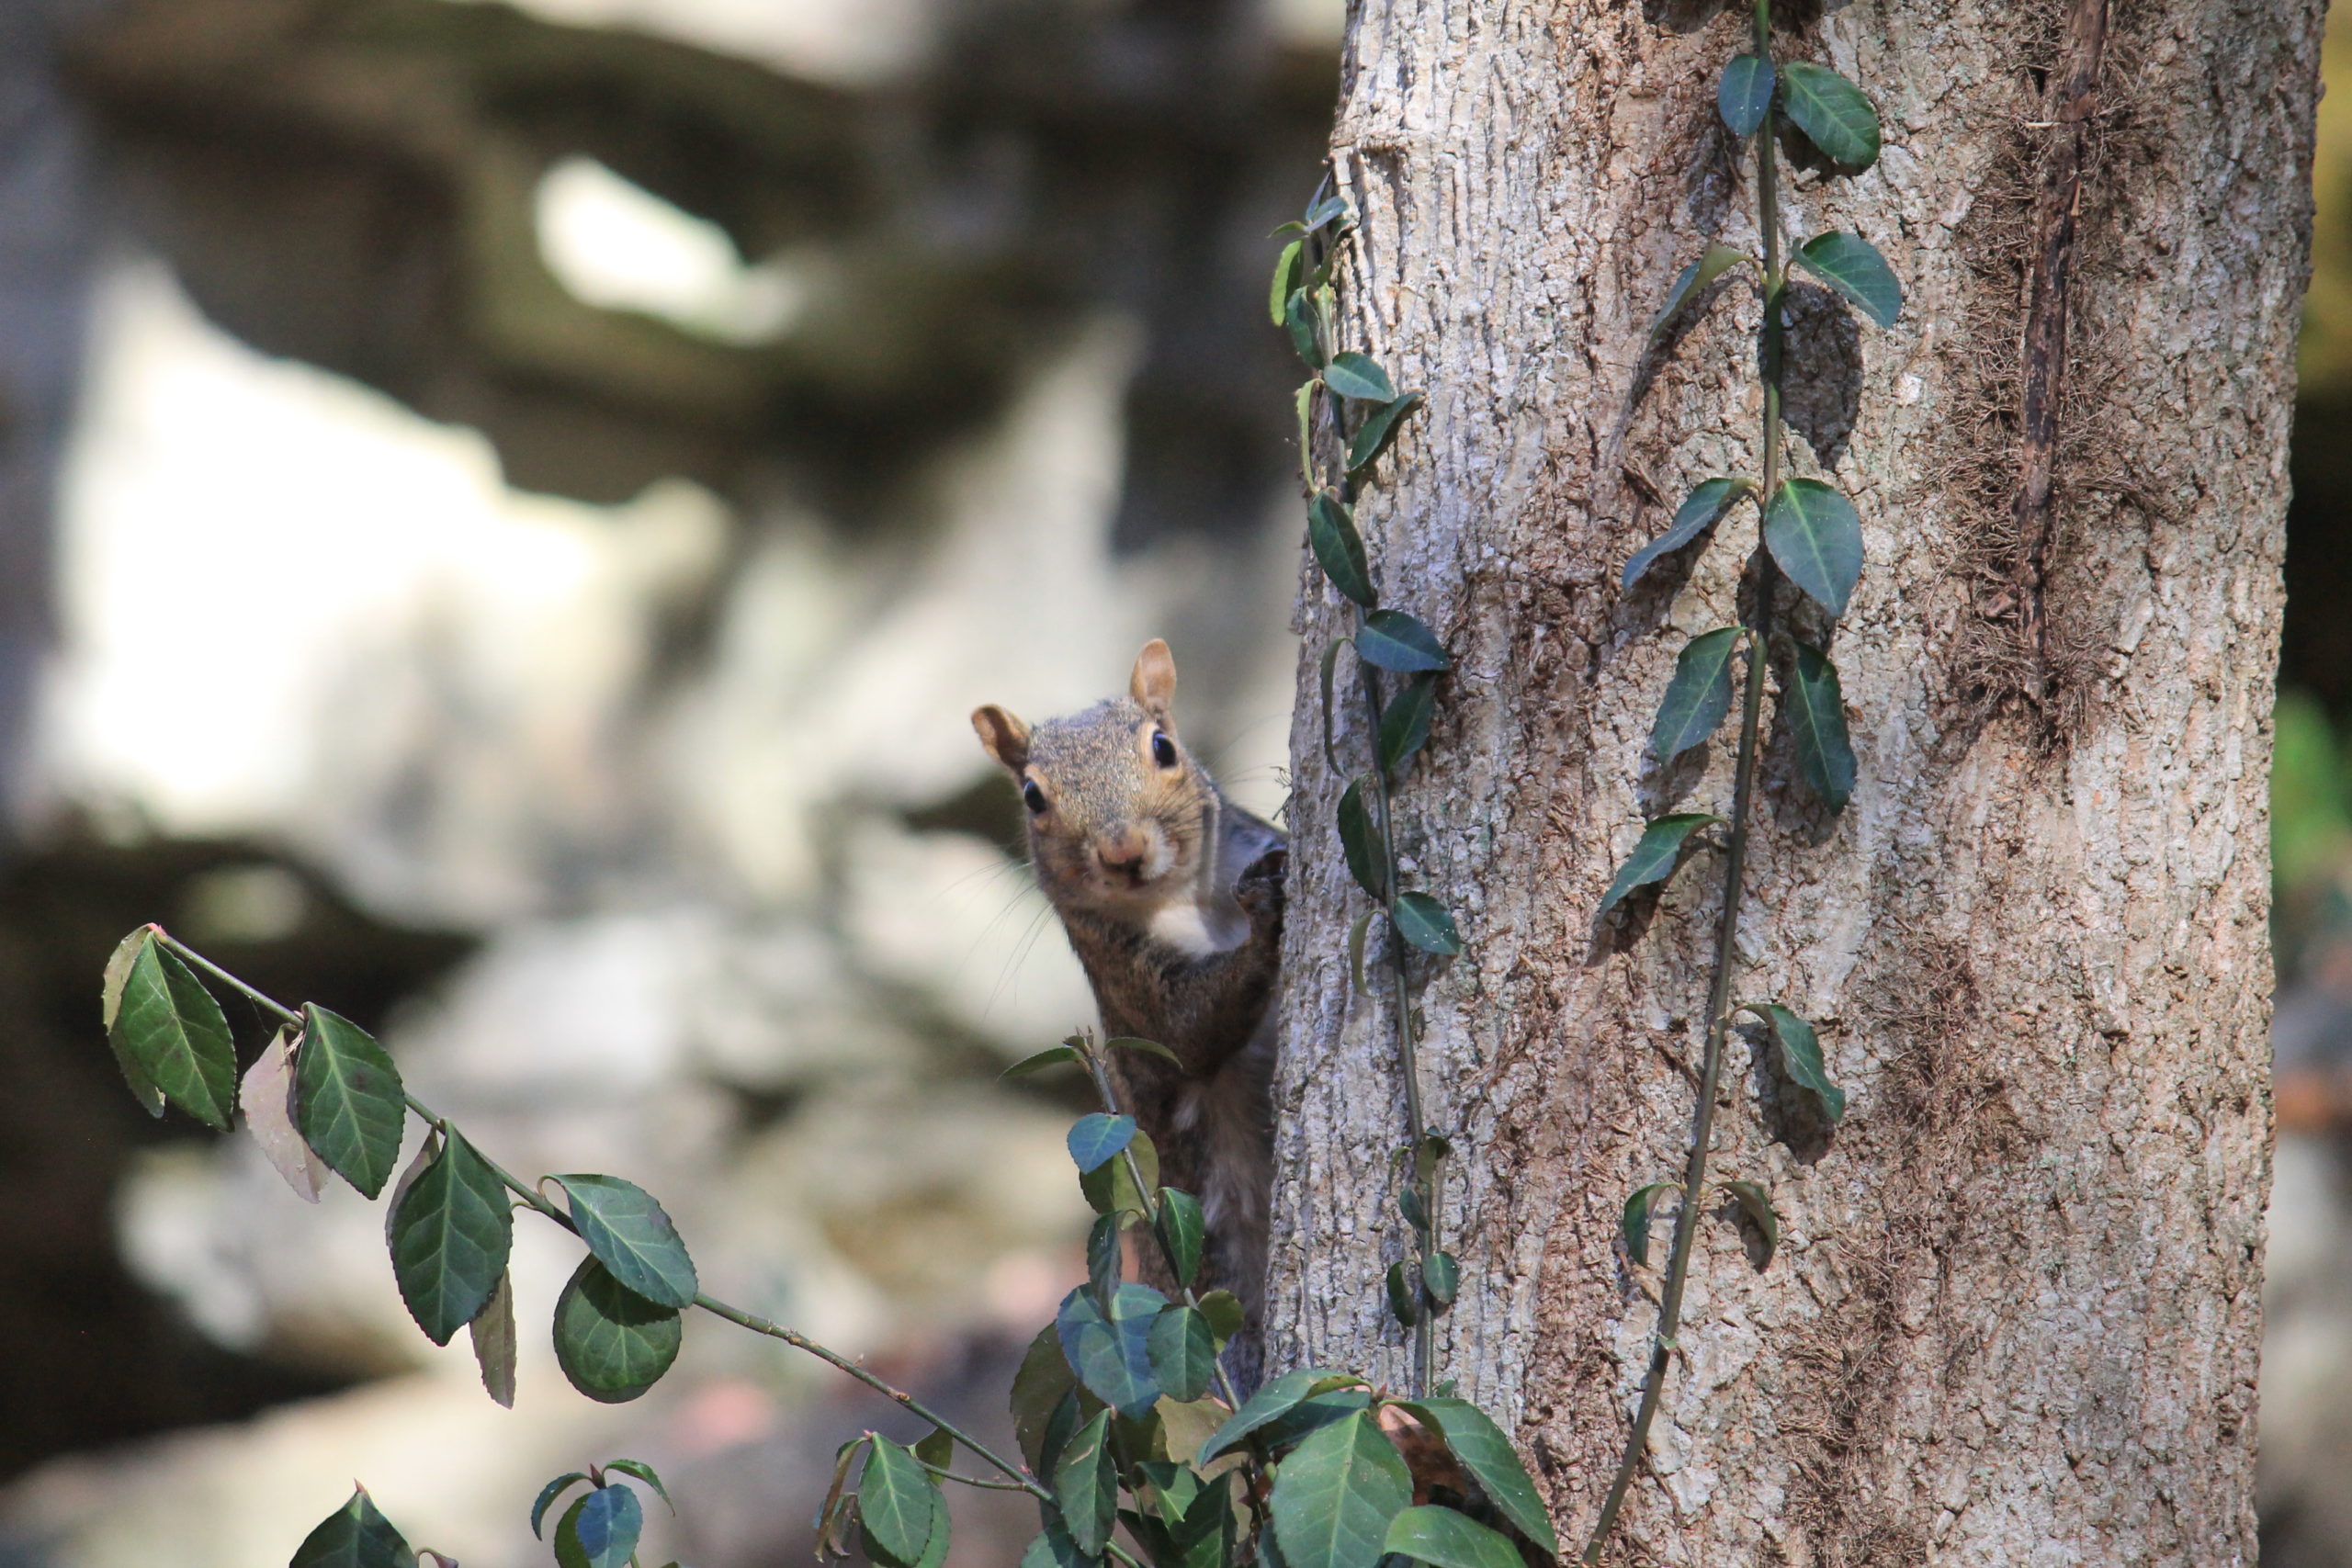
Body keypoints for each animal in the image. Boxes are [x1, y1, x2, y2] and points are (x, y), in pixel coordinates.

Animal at [972, 638, 1286, 1394]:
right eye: (1033, 796)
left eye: (1163, 747)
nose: (1123, 853)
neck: (1192, 901)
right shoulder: (1130, 988)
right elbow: (1190, 1029)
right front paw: (1266, 918)